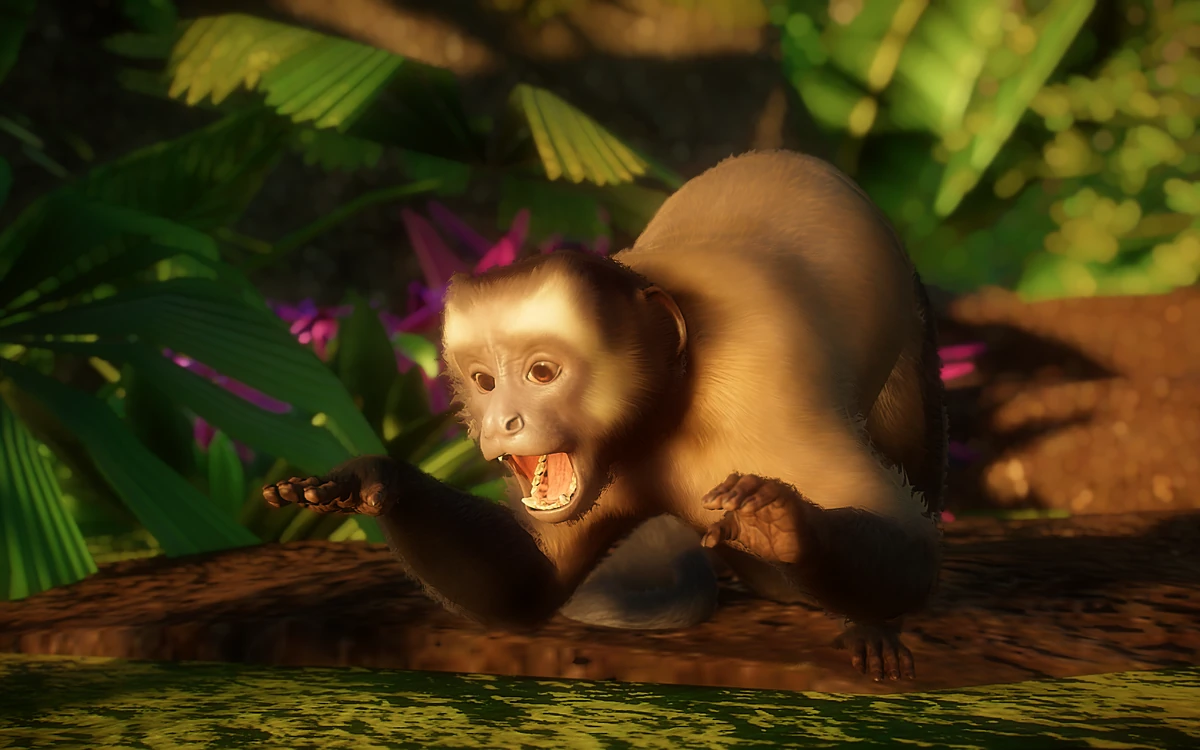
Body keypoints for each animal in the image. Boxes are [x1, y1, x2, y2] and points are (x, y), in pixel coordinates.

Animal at [264, 150, 947, 682]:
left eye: (541, 372)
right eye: (484, 381)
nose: (500, 422)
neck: (671, 399)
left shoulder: (764, 386)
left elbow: (912, 543)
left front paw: (788, 527)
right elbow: (529, 581)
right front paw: (376, 480)